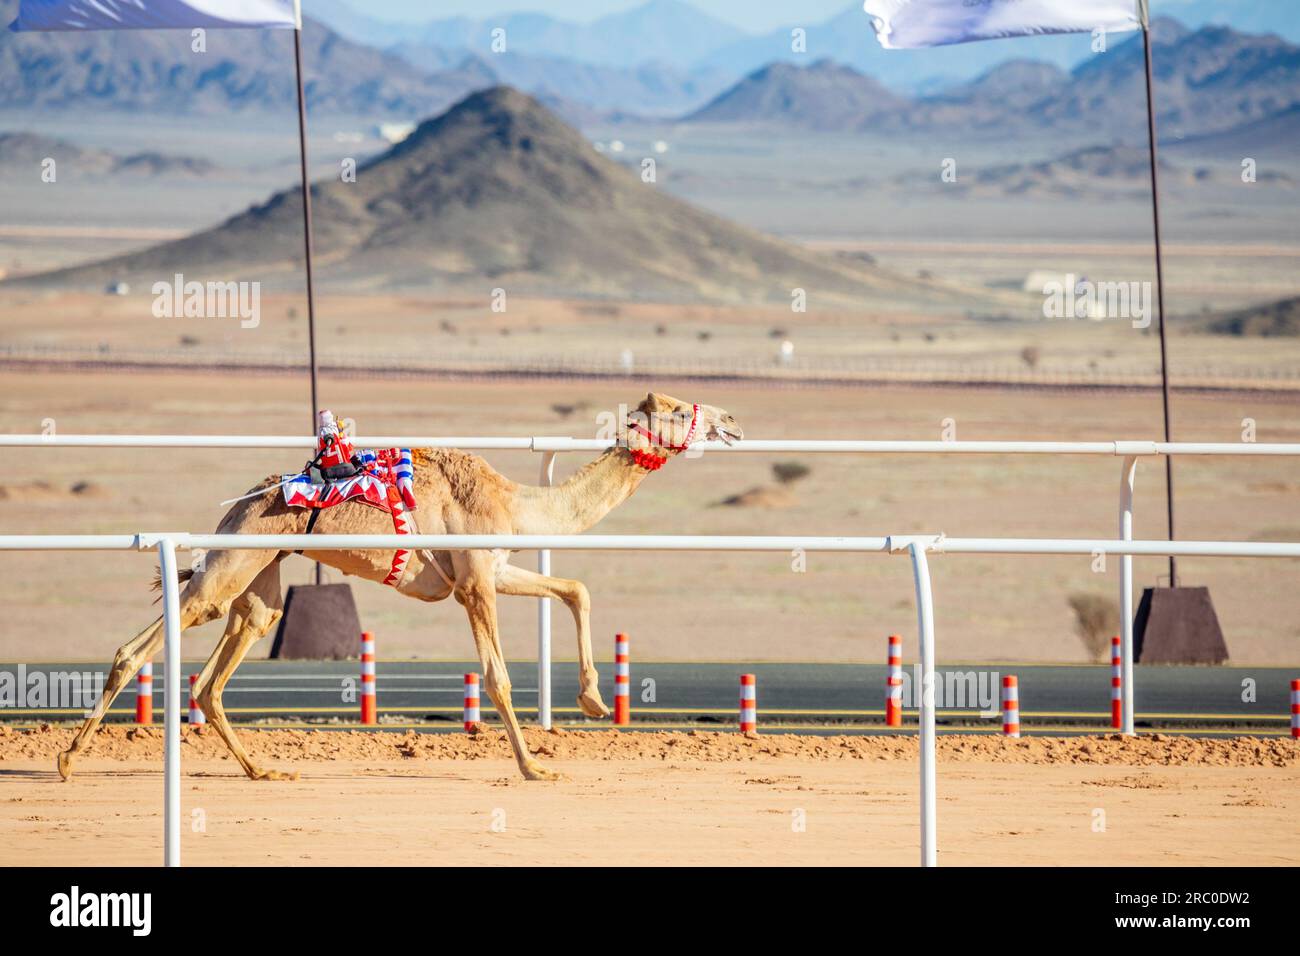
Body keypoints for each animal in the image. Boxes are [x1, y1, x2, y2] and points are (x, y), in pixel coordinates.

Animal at [58, 393, 742, 782]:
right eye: (678, 408)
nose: (733, 421)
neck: (517, 503)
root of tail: (241, 503)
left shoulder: (493, 568)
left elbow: (576, 588)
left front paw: (596, 702)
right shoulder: (475, 584)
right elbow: (496, 677)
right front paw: (533, 768)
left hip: (262, 572)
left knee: (223, 658)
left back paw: (262, 771)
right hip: (237, 555)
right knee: (147, 643)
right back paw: (66, 760)